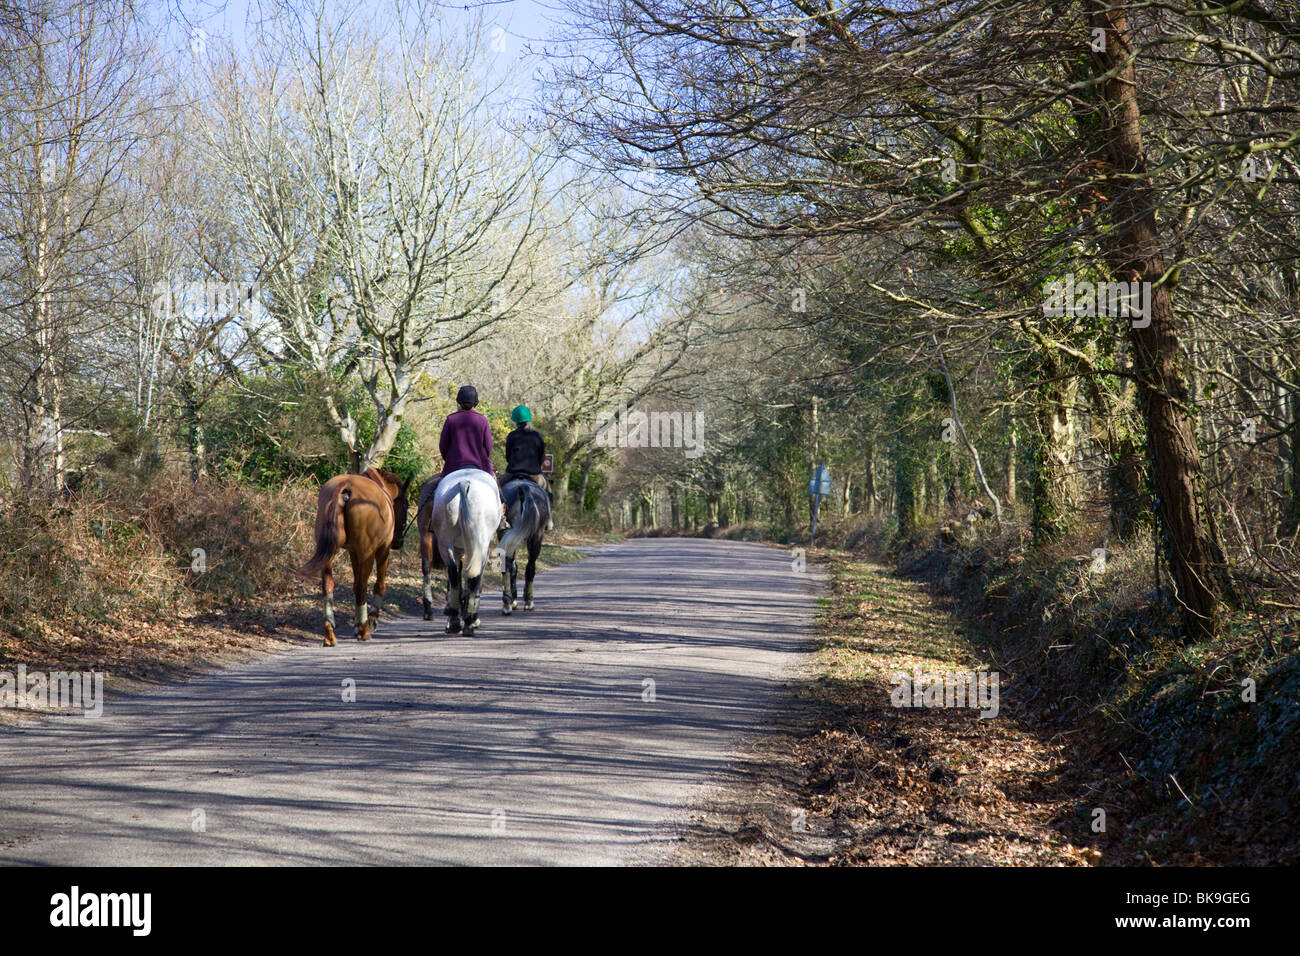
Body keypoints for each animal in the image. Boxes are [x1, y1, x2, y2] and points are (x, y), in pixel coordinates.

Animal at [298, 467, 411, 647]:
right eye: (405, 504)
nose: (398, 542)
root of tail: (346, 486)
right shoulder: (382, 551)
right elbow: (378, 586)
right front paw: (370, 620)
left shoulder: (353, 552)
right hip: (367, 553)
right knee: (361, 587)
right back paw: (364, 630)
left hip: (329, 554)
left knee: (328, 585)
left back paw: (330, 632)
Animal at [415, 467, 501, 636]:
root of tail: (464, 482)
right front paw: (472, 617)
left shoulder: (460, 551)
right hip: (476, 545)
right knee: (471, 577)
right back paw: (467, 620)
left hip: (442, 541)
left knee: (449, 572)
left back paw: (450, 616)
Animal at [498, 479, 551, 614]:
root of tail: (524, 487)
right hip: (536, 537)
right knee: (530, 566)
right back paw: (528, 601)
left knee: (508, 565)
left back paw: (508, 602)